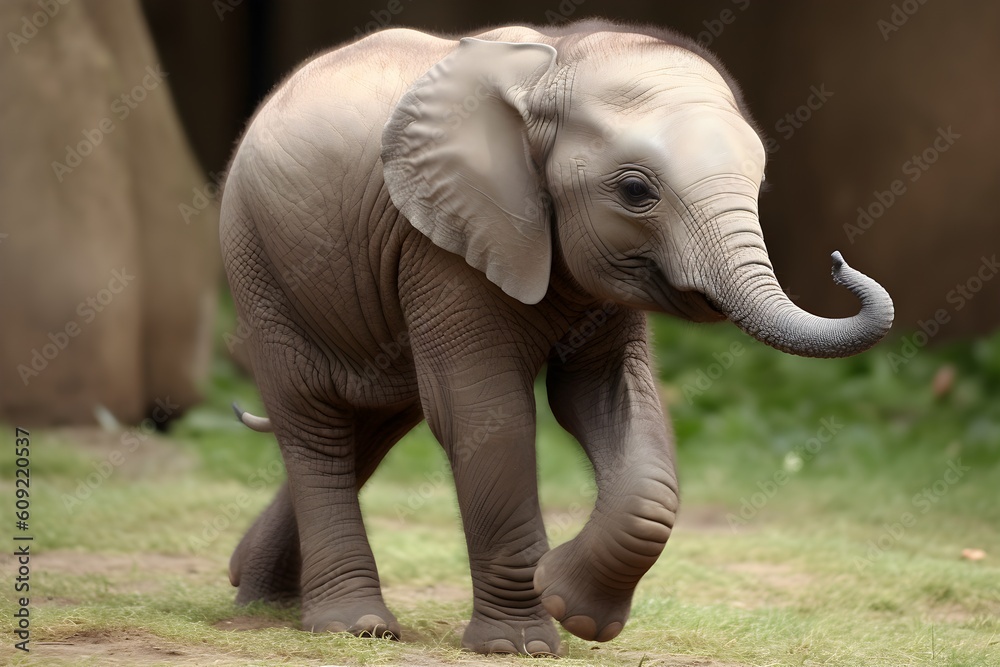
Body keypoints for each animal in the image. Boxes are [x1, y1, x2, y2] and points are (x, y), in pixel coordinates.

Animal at [219, 20, 893, 655]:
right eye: (635, 191)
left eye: (758, 185)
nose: (838, 261)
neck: (552, 67)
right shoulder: (442, 245)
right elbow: (486, 415)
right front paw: (521, 642)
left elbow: (608, 402)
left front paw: (574, 608)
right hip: (258, 264)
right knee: (315, 421)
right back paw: (353, 626)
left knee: (375, 423)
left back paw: (260, 596)